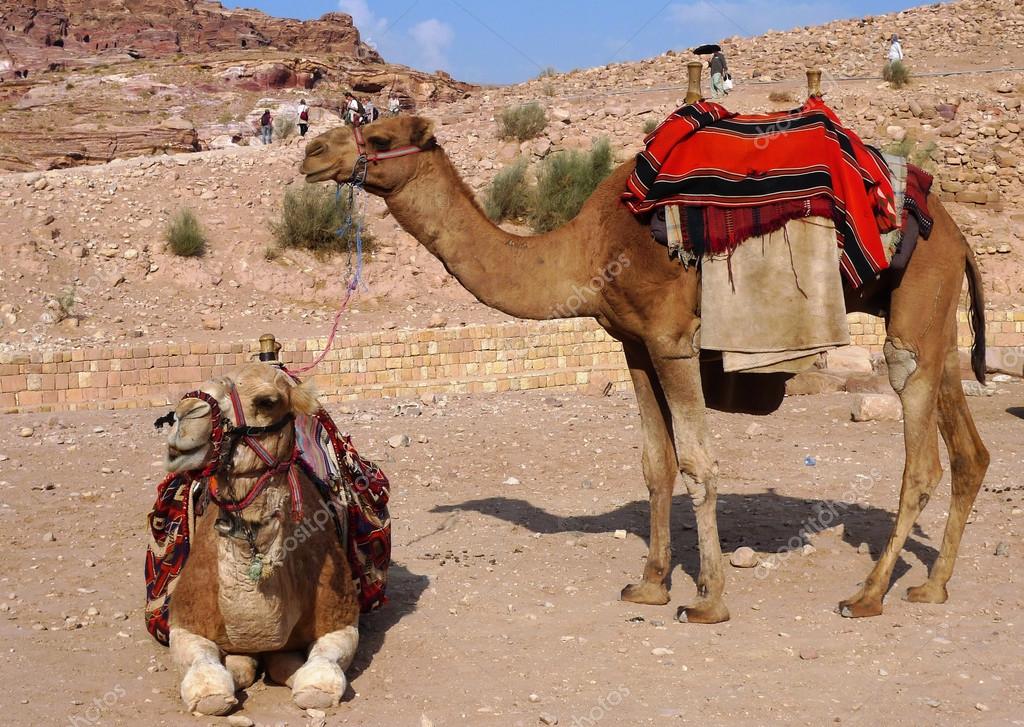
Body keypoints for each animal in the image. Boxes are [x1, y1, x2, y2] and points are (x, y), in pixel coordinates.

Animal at [163, 363, 359, 714]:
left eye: (267, 402)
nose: (185, 417)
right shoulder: (184, 619)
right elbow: (205, 670)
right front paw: (216, 688)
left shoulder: (343, 616)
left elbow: (320, 673)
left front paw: (308, 681)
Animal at [299, 89, 989, 624]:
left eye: (379, 133)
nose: (312, 154)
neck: (586, 248)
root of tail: (956, 234)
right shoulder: (631, 342)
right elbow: (655, 464)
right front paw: (651, 584)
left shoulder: (670, 337)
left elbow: (698, 463)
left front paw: (708, 601)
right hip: (937, 321)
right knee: (969, 450)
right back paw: (932, 586)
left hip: (916, 302)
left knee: (920, 456)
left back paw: (867, 596)